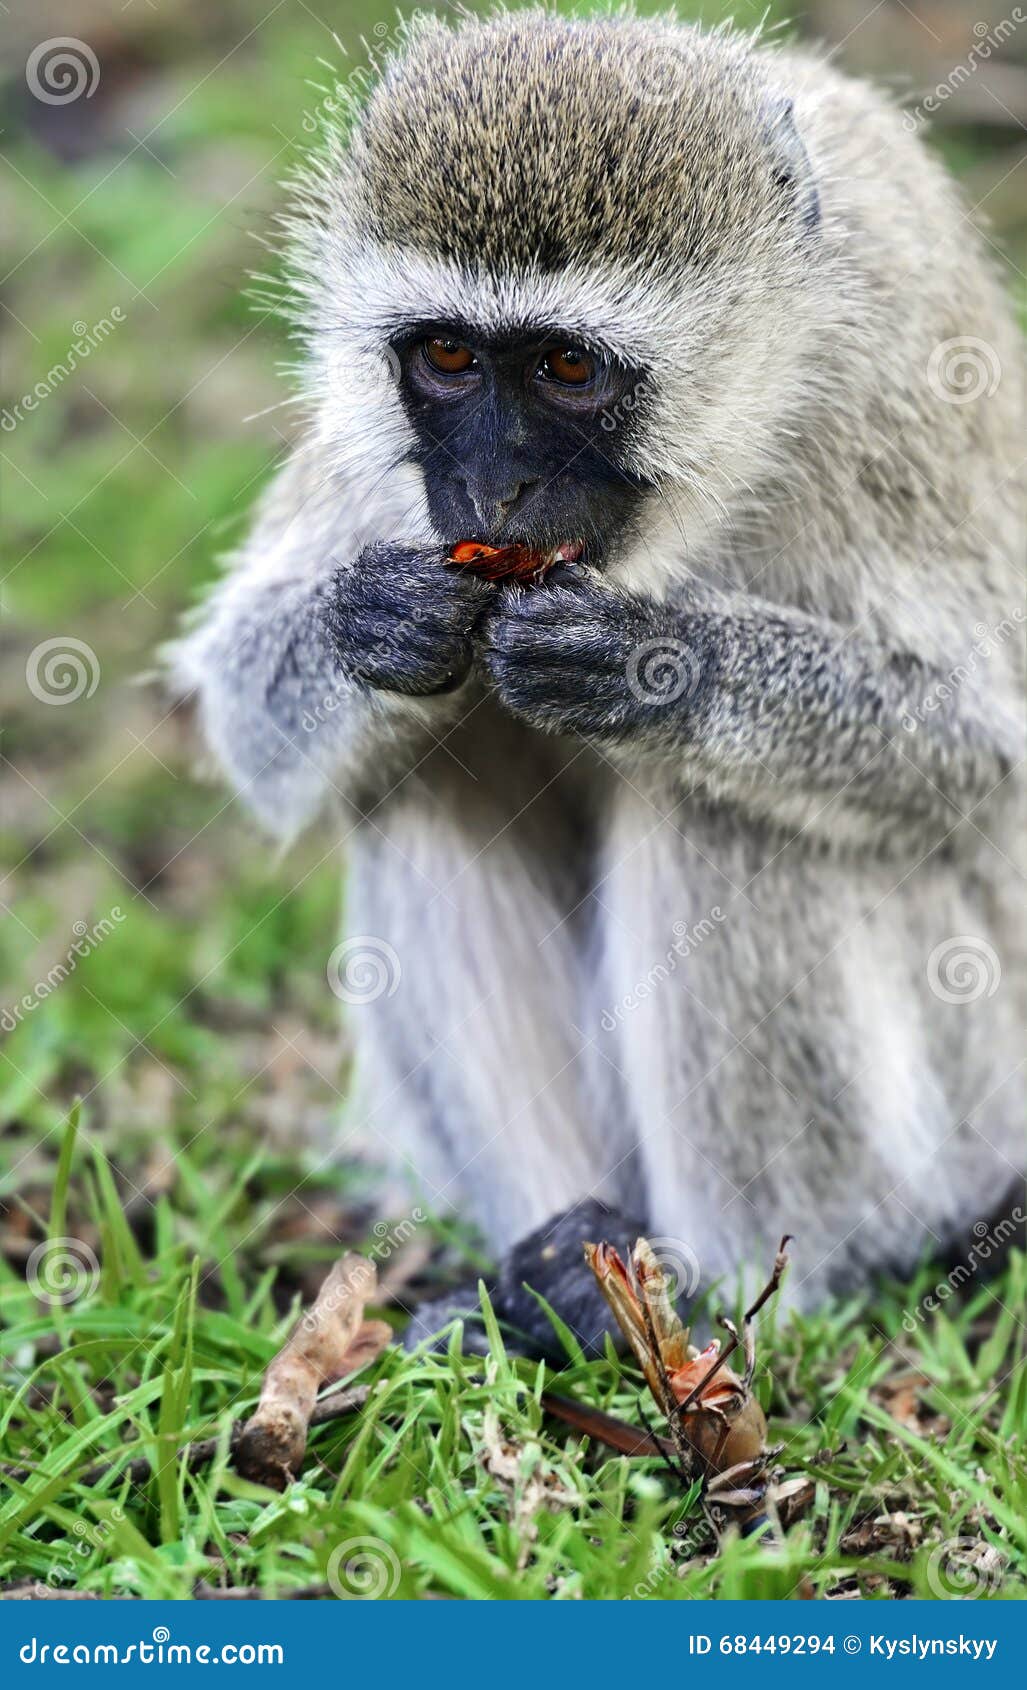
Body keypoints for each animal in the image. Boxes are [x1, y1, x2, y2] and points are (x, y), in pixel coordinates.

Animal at [170, 8, 1024, 1361]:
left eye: (568, 368)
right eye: (449, 356)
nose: (493, 491)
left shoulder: (897, 363)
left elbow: (979, 748)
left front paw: (650, 667)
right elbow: (248, 717)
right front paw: (375, 623)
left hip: (973, 1089)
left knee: (729, 815)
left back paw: (713, 1295)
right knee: (424, 771)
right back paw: (550, 1274)